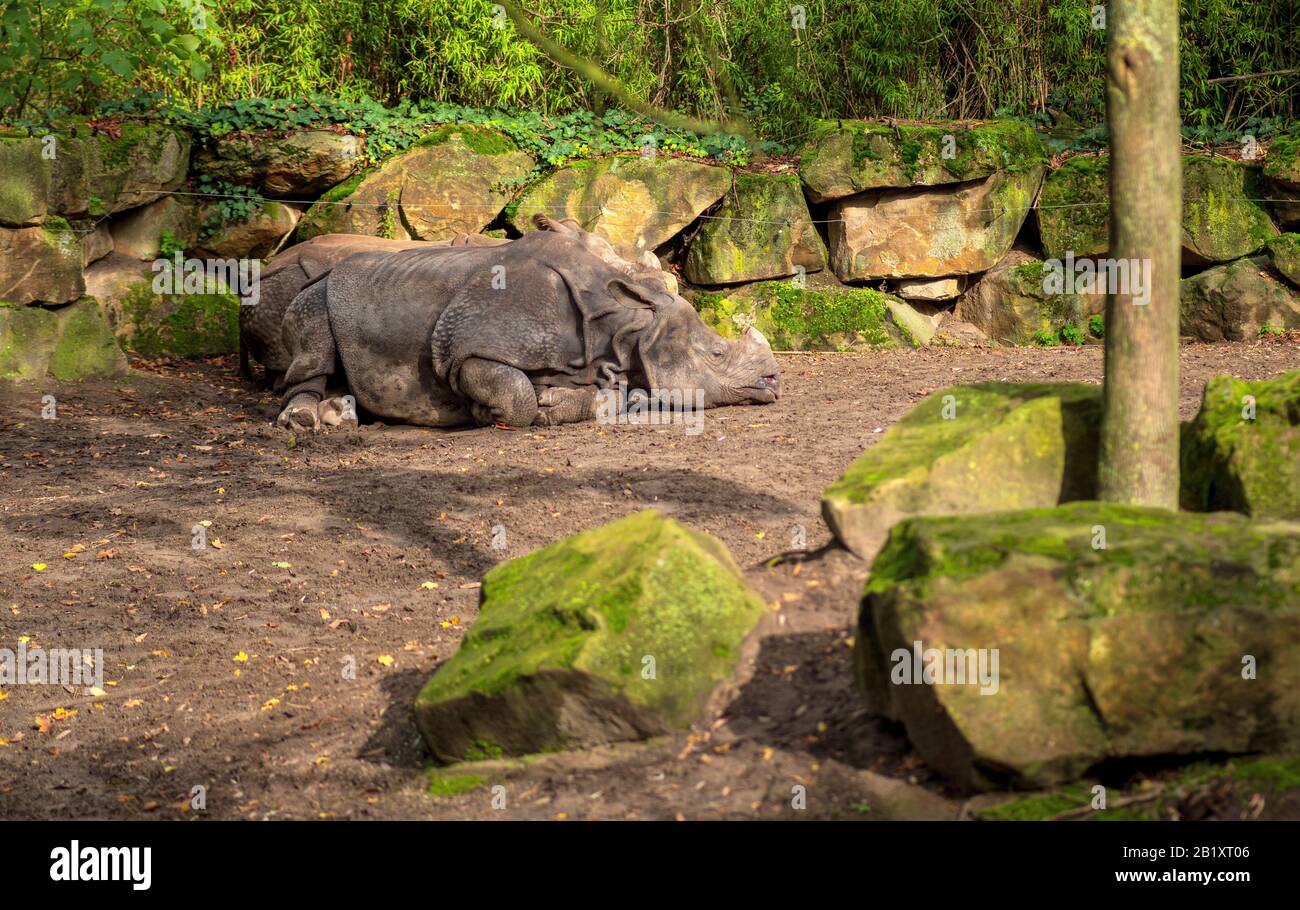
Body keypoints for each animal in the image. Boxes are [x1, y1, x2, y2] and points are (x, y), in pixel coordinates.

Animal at [274, 227, 780, 430]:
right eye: (716, 355)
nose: (774, 381)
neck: (622, 329)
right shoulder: (466, 346)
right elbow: (512, 392)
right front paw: (491, 413)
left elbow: (612, 398)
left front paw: (554, 402)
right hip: (318, 291)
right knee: (311, 339)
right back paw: (306, 420)